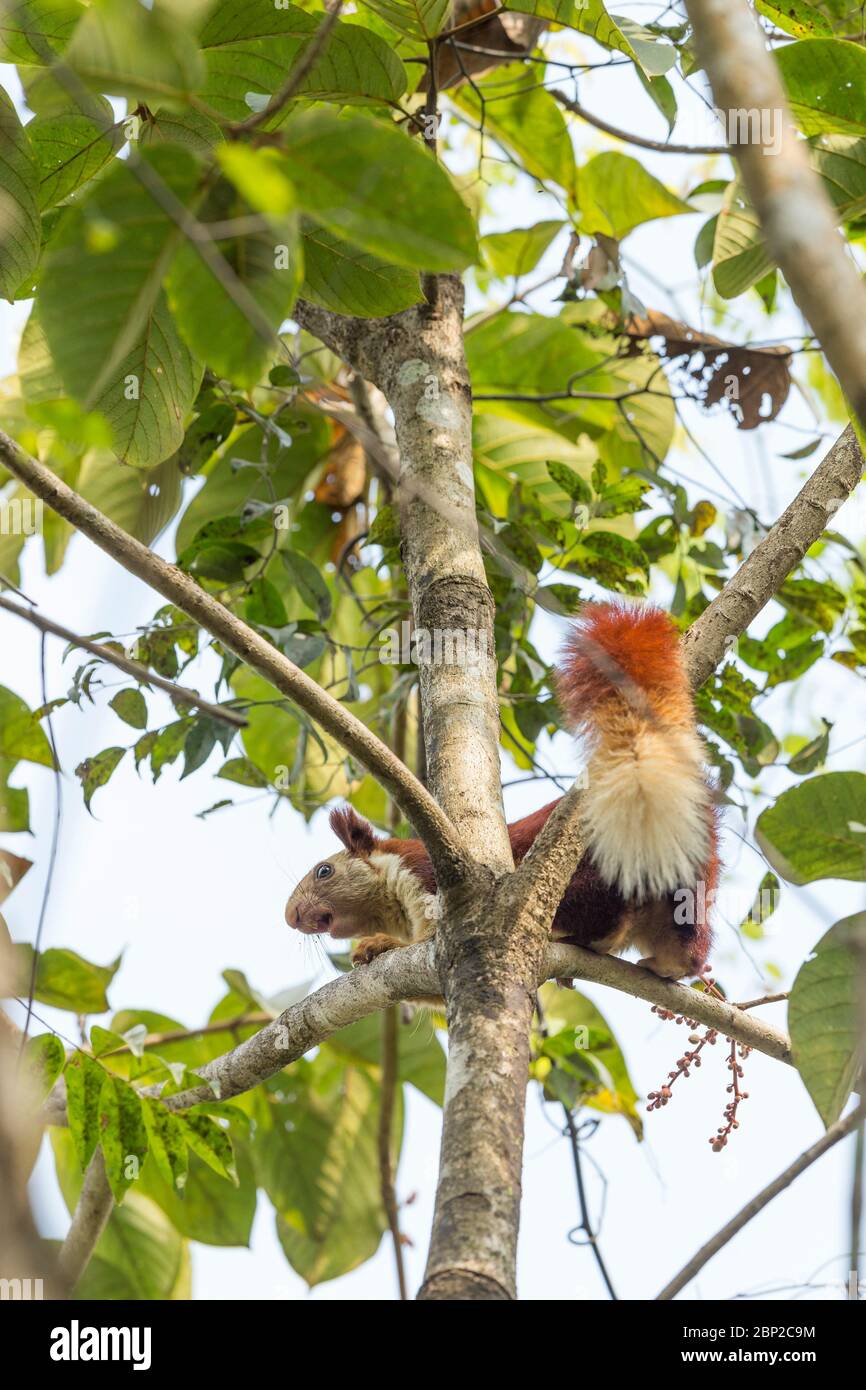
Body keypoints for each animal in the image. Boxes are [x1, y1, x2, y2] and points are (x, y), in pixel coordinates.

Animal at [285, 602, 720, 981]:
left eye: (324, 870)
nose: (290, 916)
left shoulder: (425, 877)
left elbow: (427, 942)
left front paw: (380, 944)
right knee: (688, 949)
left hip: (592, 872)